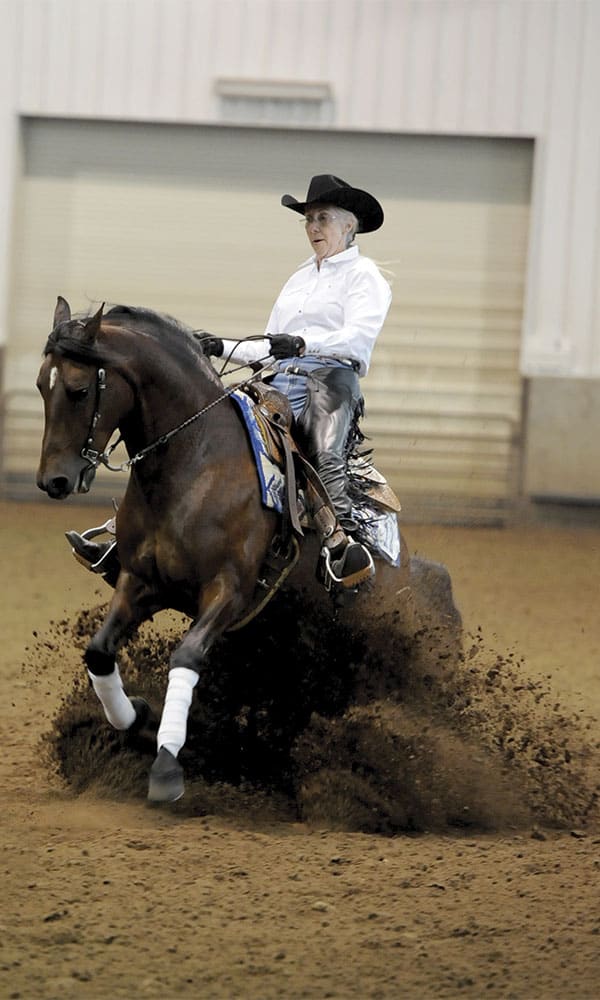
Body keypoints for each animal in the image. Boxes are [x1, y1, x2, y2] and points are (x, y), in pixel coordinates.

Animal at [36, 297, 420, 803]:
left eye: (79, 390)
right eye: (41, 385)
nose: (53, 481)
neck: (195, 463)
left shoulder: (229, 590)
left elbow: (185, 657)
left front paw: (166, 764)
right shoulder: (141, 581)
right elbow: (99, 652)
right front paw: (138, 716)